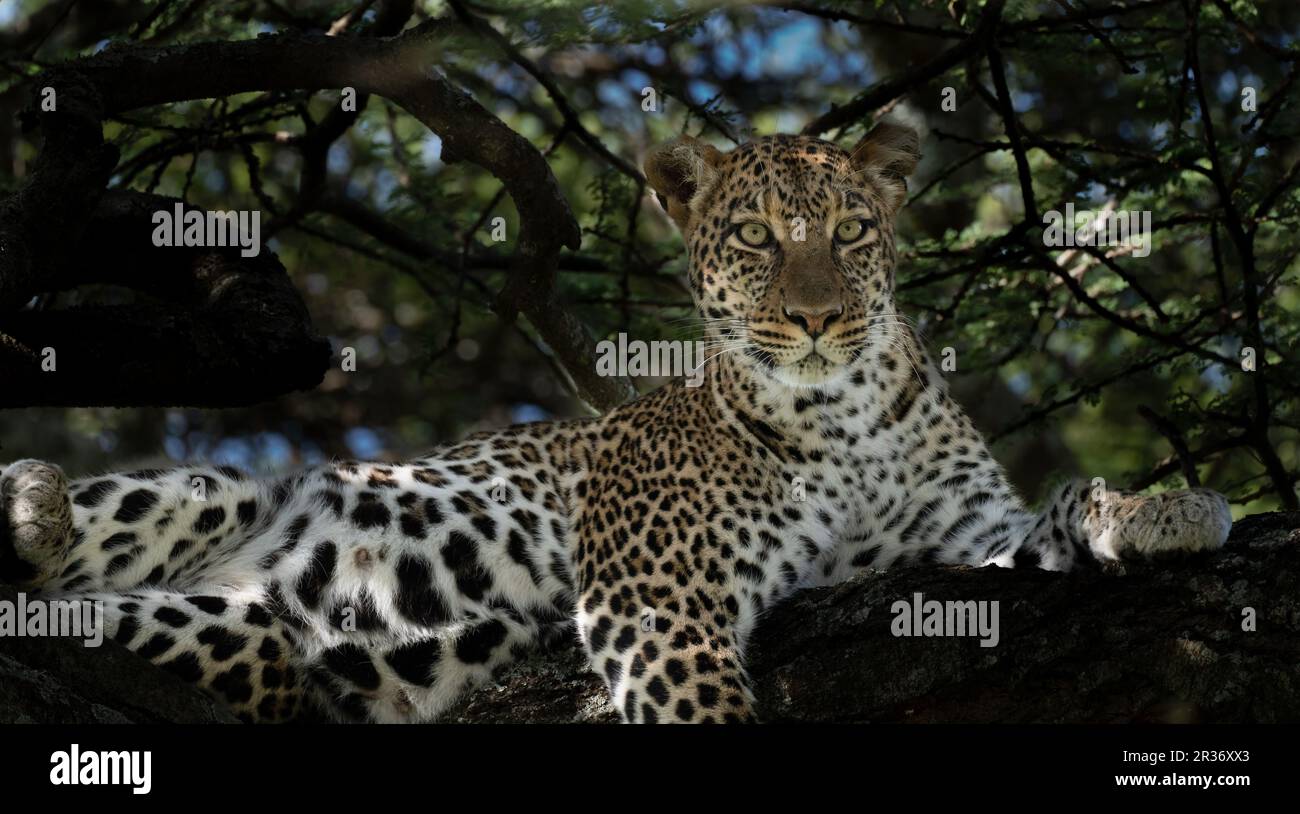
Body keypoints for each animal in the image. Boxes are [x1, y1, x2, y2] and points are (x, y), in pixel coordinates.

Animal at [0, 122, 1233, 723]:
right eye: (755, 236)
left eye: (850, 230)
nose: (817, 317)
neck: (842, 417)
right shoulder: (660, 592)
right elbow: (704, 708)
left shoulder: (960, 543)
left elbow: (1061, 512)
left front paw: (1166, 509)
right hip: (207, 492)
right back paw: (34, 506)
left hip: (222, 625)